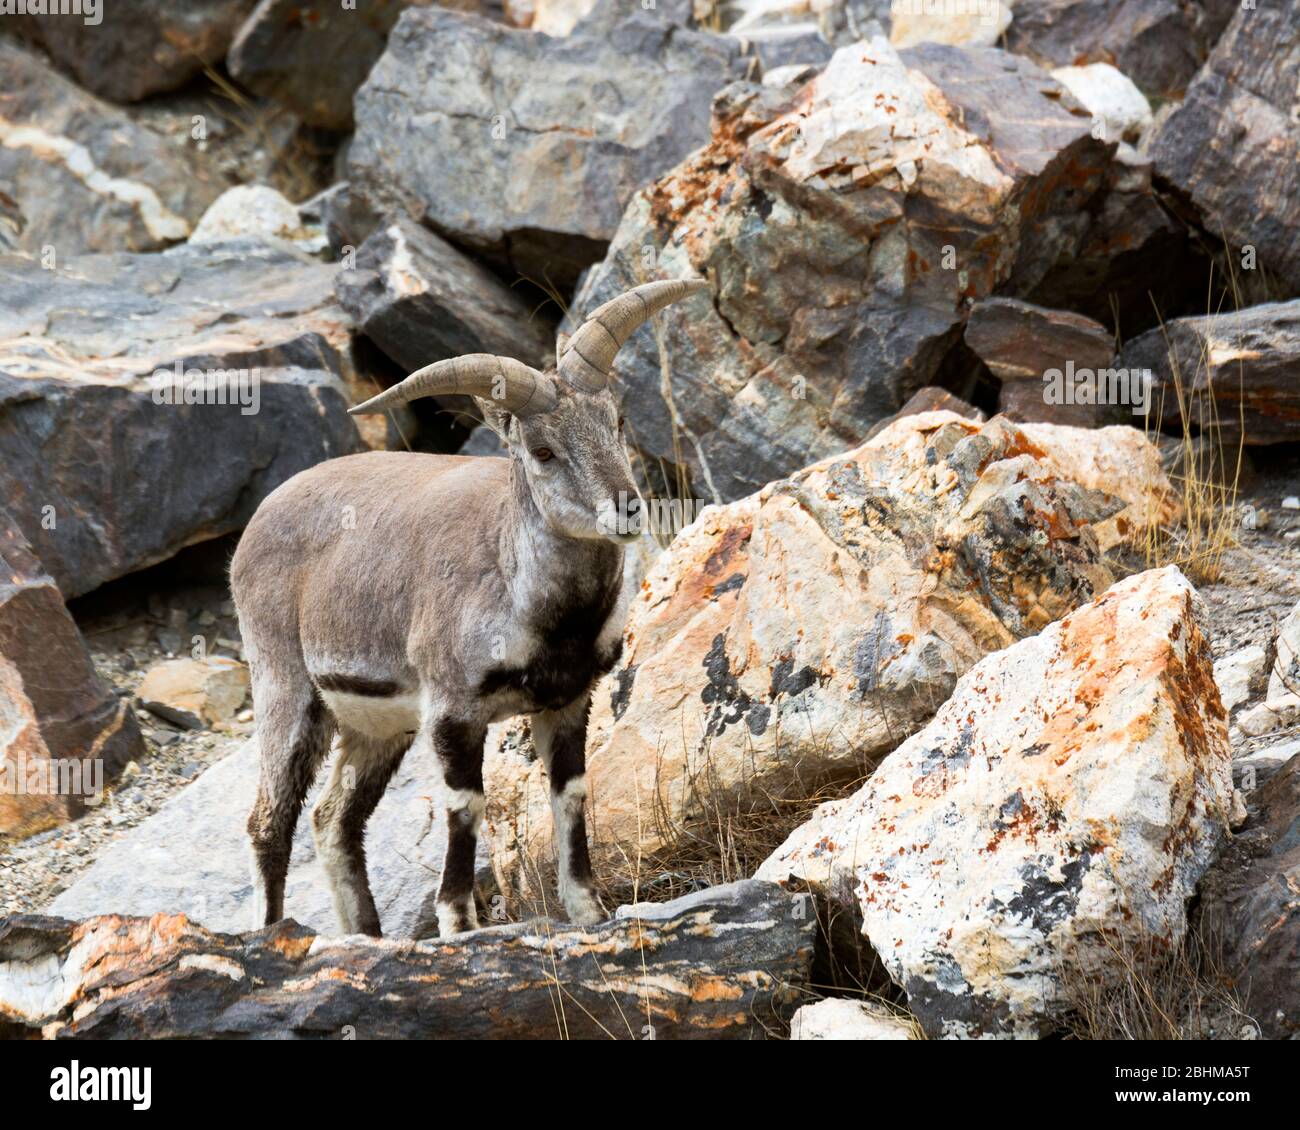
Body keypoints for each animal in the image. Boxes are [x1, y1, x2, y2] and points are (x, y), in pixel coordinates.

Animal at [230, 278, 708, 938]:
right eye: (542, 449)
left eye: (614, 420)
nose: (629, 507)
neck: (541, 612)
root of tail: (257, 524)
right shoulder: (453, 710)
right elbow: (466, 807)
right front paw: (458, 924)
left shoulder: (567, 701)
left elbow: (571, 795)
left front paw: (589, 911)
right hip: (287, 687)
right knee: (268, 823)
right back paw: (274, 931)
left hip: (377, 725)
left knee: (334, 819)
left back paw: (368, 935)